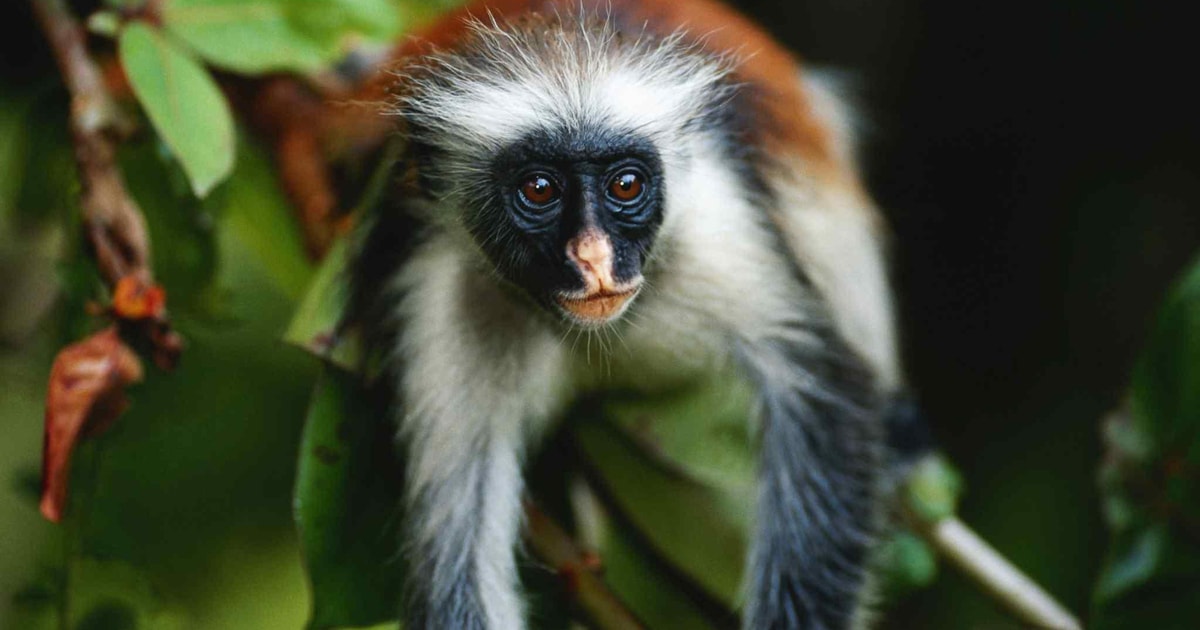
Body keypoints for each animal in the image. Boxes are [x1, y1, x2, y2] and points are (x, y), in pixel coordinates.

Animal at [344, 1, 902, 628]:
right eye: (539, 190)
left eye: (627, 184)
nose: (594, 257)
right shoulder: (443, 287)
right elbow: (455, 557)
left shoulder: (714, 223)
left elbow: (824, 391)